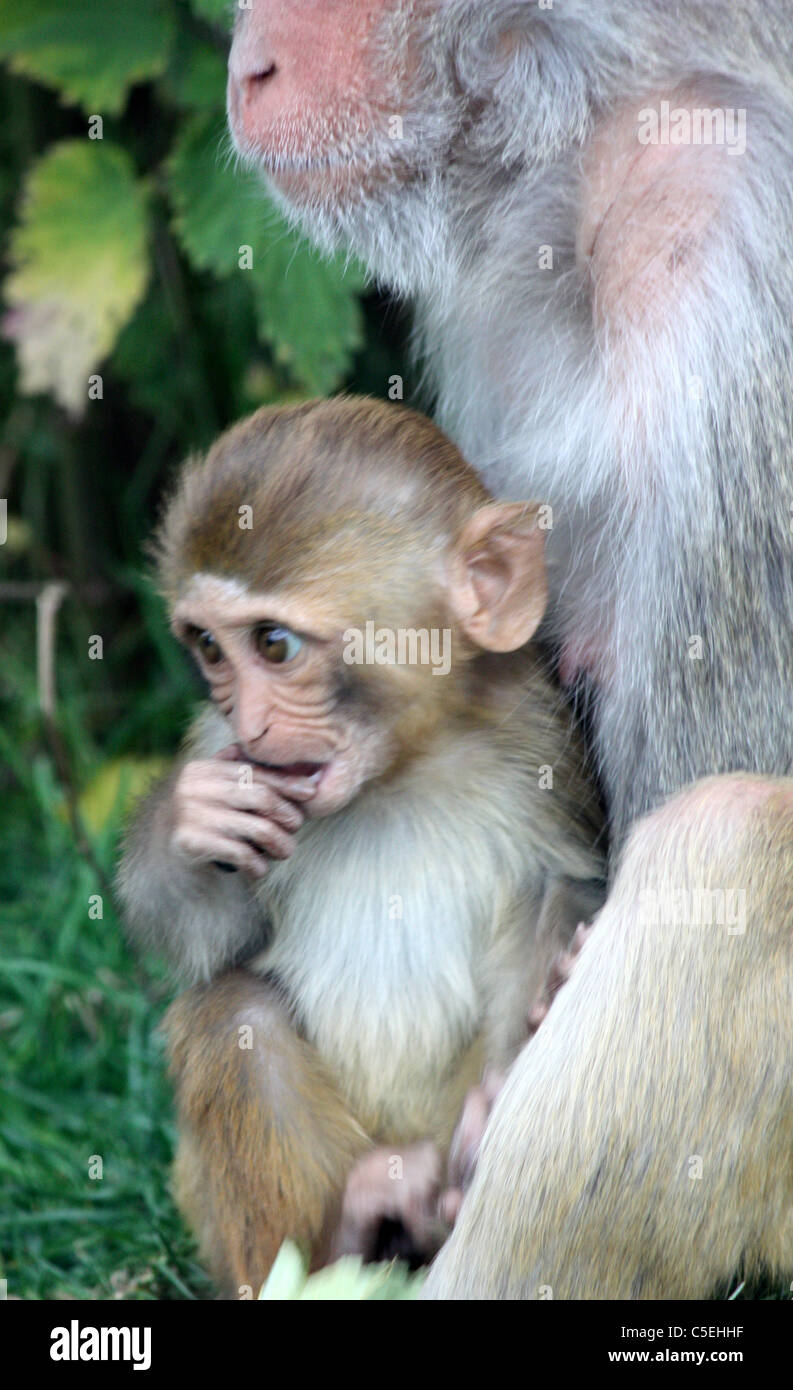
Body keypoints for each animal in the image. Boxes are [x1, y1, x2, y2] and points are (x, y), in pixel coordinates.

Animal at [118, 395, 606, 1293]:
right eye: (207, 647)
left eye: (272, 645)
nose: (253, 724)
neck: (400, 770)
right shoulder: (215, 740)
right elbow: (207, 940)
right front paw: (188, 824)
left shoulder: (549, 754)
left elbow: (557, 894)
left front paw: (510, 1075)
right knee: (231, 1015)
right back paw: (350, 1227)